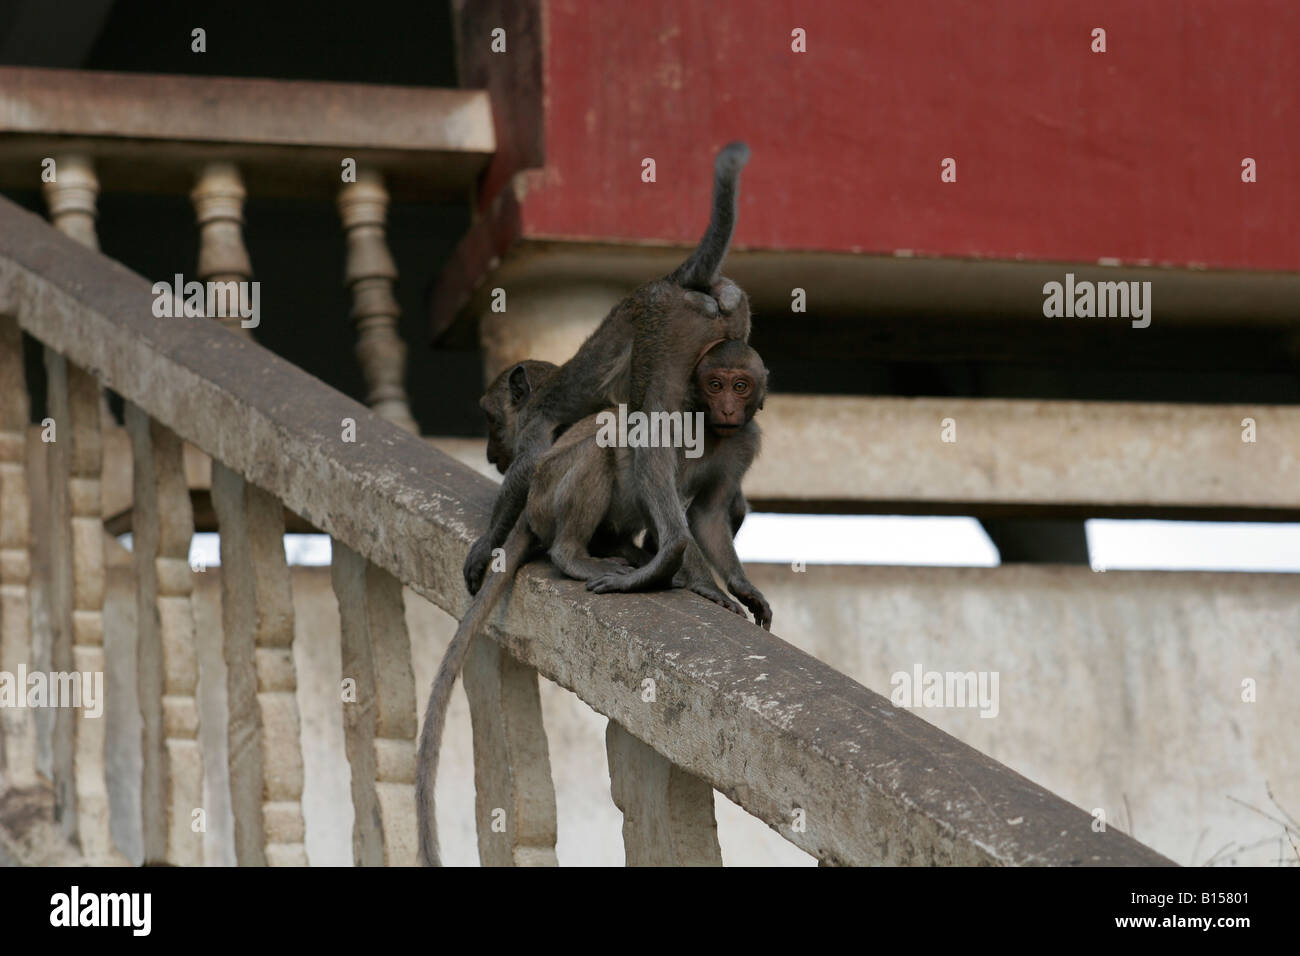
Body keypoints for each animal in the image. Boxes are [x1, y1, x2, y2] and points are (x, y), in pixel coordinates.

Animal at [417, 340, 772, 865]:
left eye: (739, 385)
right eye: (715, 384)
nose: (727, 406)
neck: (711, 431)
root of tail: (534, 514)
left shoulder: (743, 441)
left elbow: (708, 515)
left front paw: (740, 589)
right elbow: (666, 499)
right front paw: (701, 585)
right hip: (549, 492)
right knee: (599, 449)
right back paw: (580, 555)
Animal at [462, 141, 752, 597]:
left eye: (492, 420)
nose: (491, 454)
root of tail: (673, 281)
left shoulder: (532, 425)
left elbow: (528, 468)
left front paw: (487, 544)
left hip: (660, 331)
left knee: (650, 425)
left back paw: (668, 552)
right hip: (733, 318)